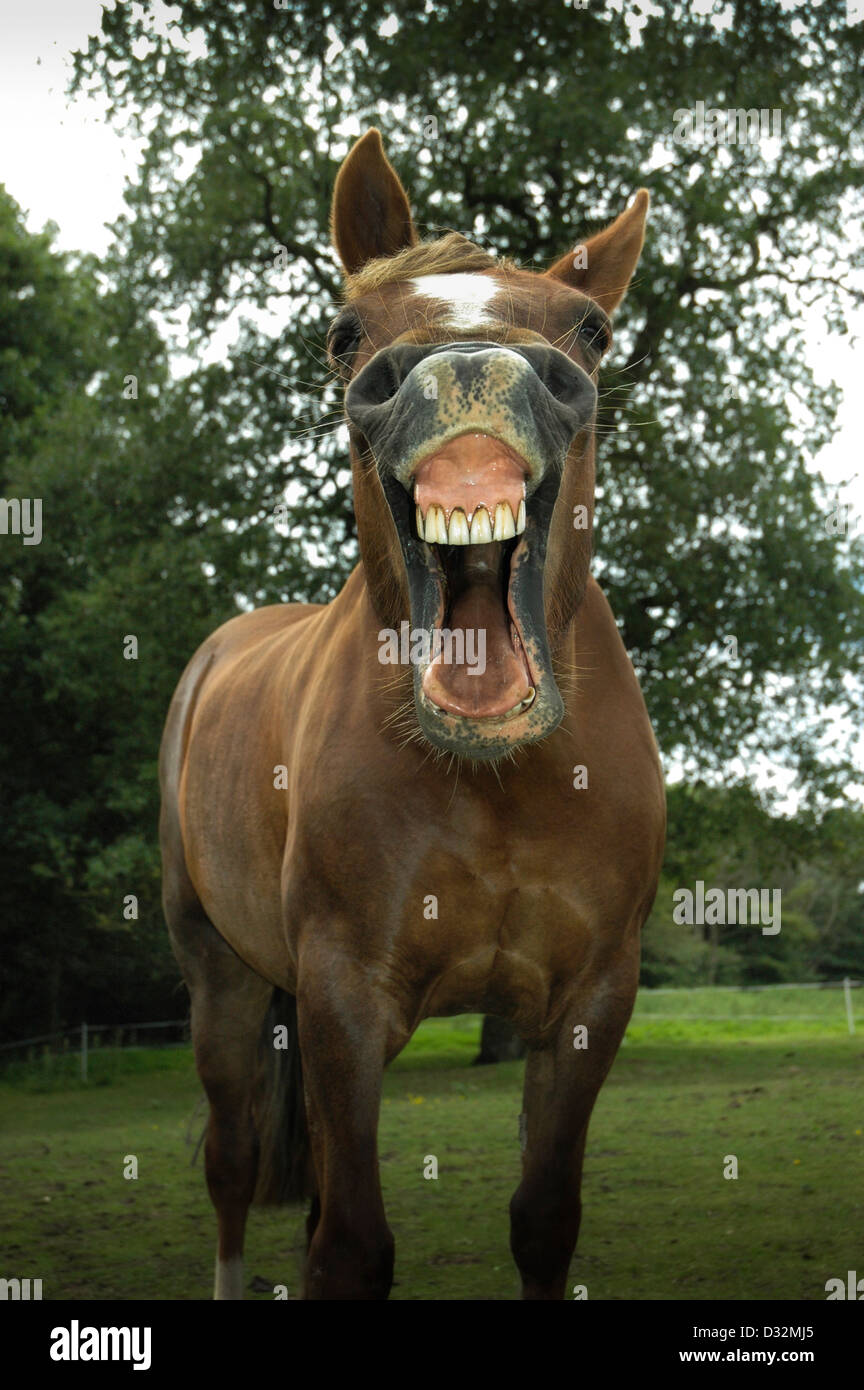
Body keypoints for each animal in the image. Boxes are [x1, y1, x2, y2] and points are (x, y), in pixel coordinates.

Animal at [159, 128, 665, 1301]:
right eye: (347, 333)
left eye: (591, 327)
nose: (471, 370)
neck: (497, 780)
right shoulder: (343, 994)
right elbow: (350, 1246)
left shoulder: (590, 1001)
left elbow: (543, 1220)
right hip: (222, 976)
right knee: (232, 1162)